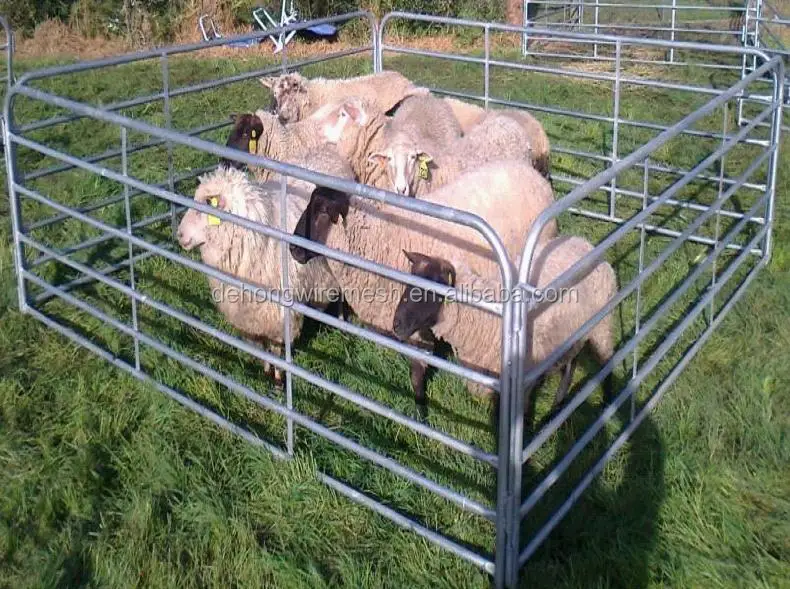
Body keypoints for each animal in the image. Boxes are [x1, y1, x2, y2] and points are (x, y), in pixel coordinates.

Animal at [176, 166, 346, 385]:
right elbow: (261, 349)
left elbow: (275, 349)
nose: (179, 234)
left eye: (207, 203)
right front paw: (266, 372)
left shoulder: (277, 315)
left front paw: (278, 378)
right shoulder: (251, 317)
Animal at [288, 159, 559, 404]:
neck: (381, 239)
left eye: (323, 212)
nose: (293, 249)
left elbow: (417, 373)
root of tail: (531, 173)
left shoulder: (419, 320)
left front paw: (420, 411)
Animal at [390, 235, 616, 418]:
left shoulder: (520, 382)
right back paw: (556, 409)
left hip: (602, 327)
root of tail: (582, 241)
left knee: (606, 362)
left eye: (431, 288)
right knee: (571, 363)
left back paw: (607, 403)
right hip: (573, 331)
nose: (396, 325)